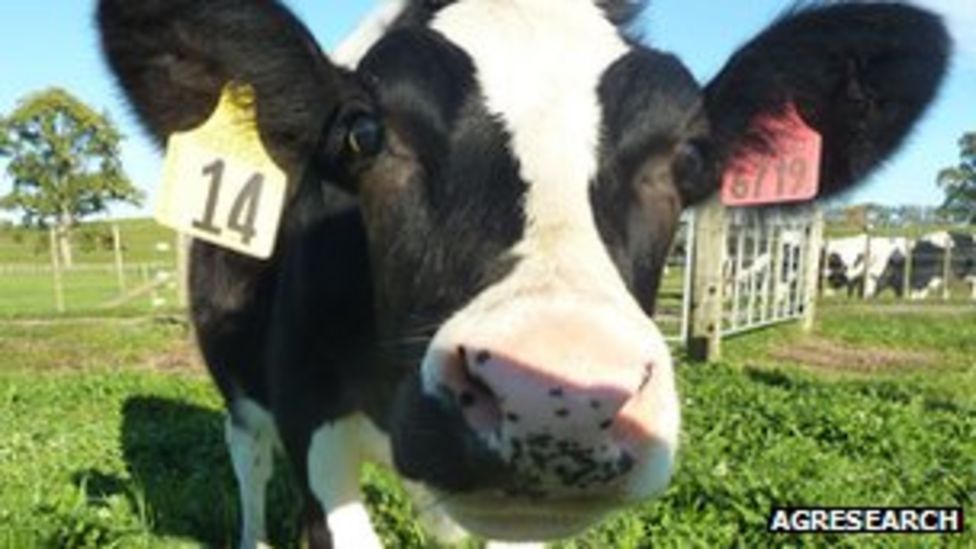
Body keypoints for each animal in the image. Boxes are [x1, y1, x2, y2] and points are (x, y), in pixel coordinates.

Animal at [96, 0, 949, 547]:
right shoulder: (313, 432)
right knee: (247, 455)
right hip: (237, 378)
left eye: (691, 157)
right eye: (364, 135)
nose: (557, 396)